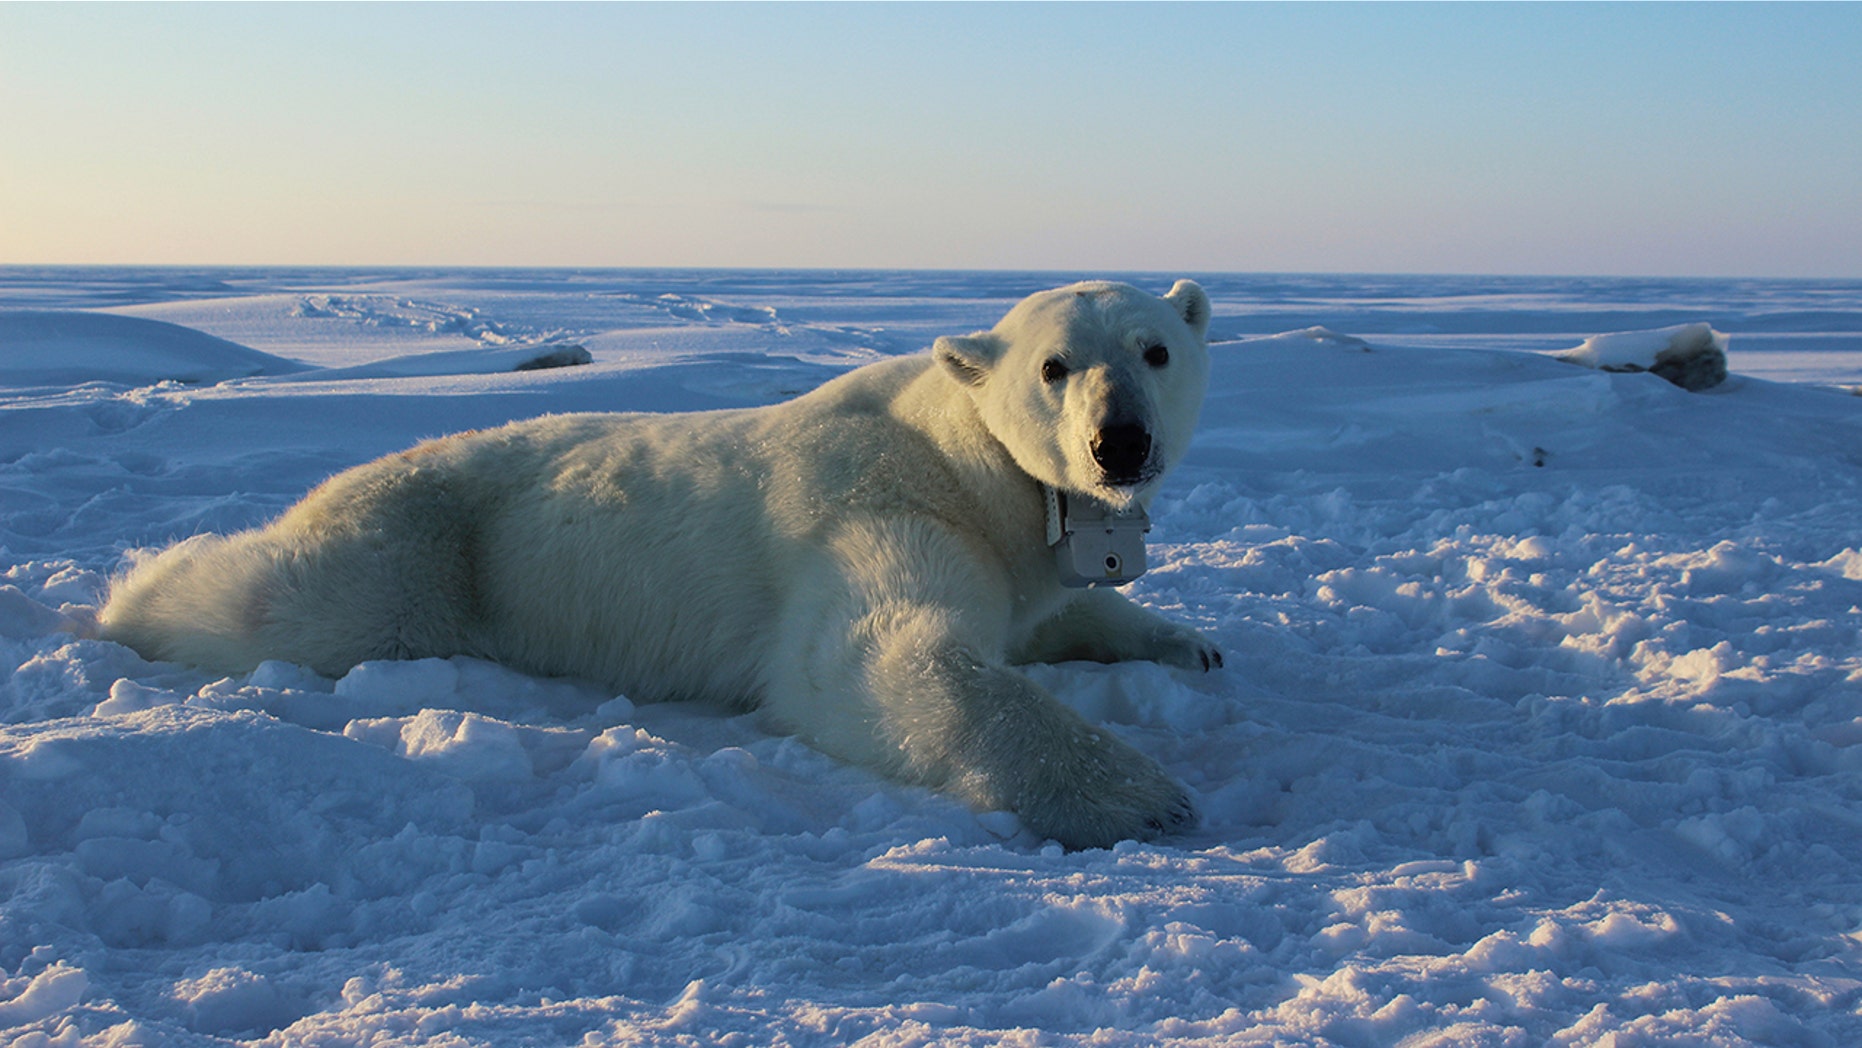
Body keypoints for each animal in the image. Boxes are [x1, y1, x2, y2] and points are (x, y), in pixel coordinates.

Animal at [99, 280, 1221, 850]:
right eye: (1053, 365)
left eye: (1155, 348)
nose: (1119, 443)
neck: (960, 457)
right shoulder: (879, 509)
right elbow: (875, 656)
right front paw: (1141, 795)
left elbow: (1057, 610)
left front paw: (1189, 644)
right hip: (422, 550)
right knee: (282, 601)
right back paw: (125, 594)